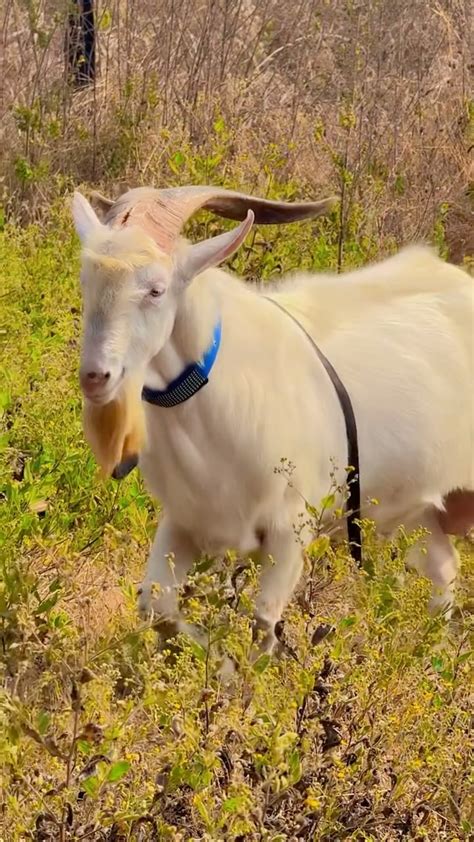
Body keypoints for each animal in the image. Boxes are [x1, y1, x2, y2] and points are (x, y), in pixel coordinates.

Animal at [72, 185, 474, 656]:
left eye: (156, 289)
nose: (96, 377)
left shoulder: (290, 532)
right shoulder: (185, 521)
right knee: (445, 569)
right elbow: (158, 610)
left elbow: (260, 625)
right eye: (86, 281)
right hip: (417, 511)